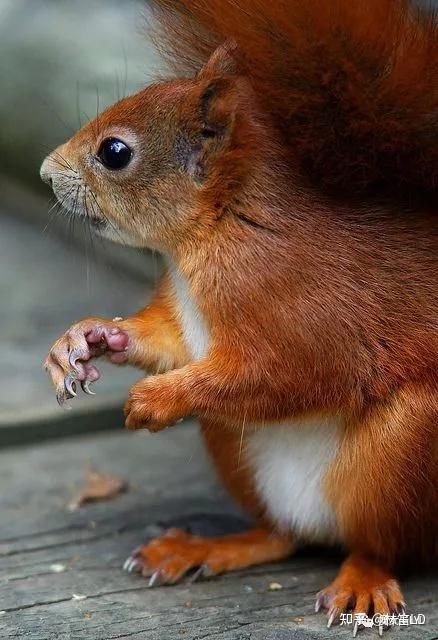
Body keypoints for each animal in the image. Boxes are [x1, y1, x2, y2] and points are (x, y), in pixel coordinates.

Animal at [40, 0, 437, 626]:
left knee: (383, 544)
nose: (46, 173)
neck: (213, 233)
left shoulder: (308, 306)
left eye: (115, 152)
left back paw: (365, 578)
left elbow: (292, 372)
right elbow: (169, 342)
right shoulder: (184, 315)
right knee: (283, 535)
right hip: (235, 447)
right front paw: (85, 339)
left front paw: (156, 397)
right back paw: (207, 547)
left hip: (408, 446)